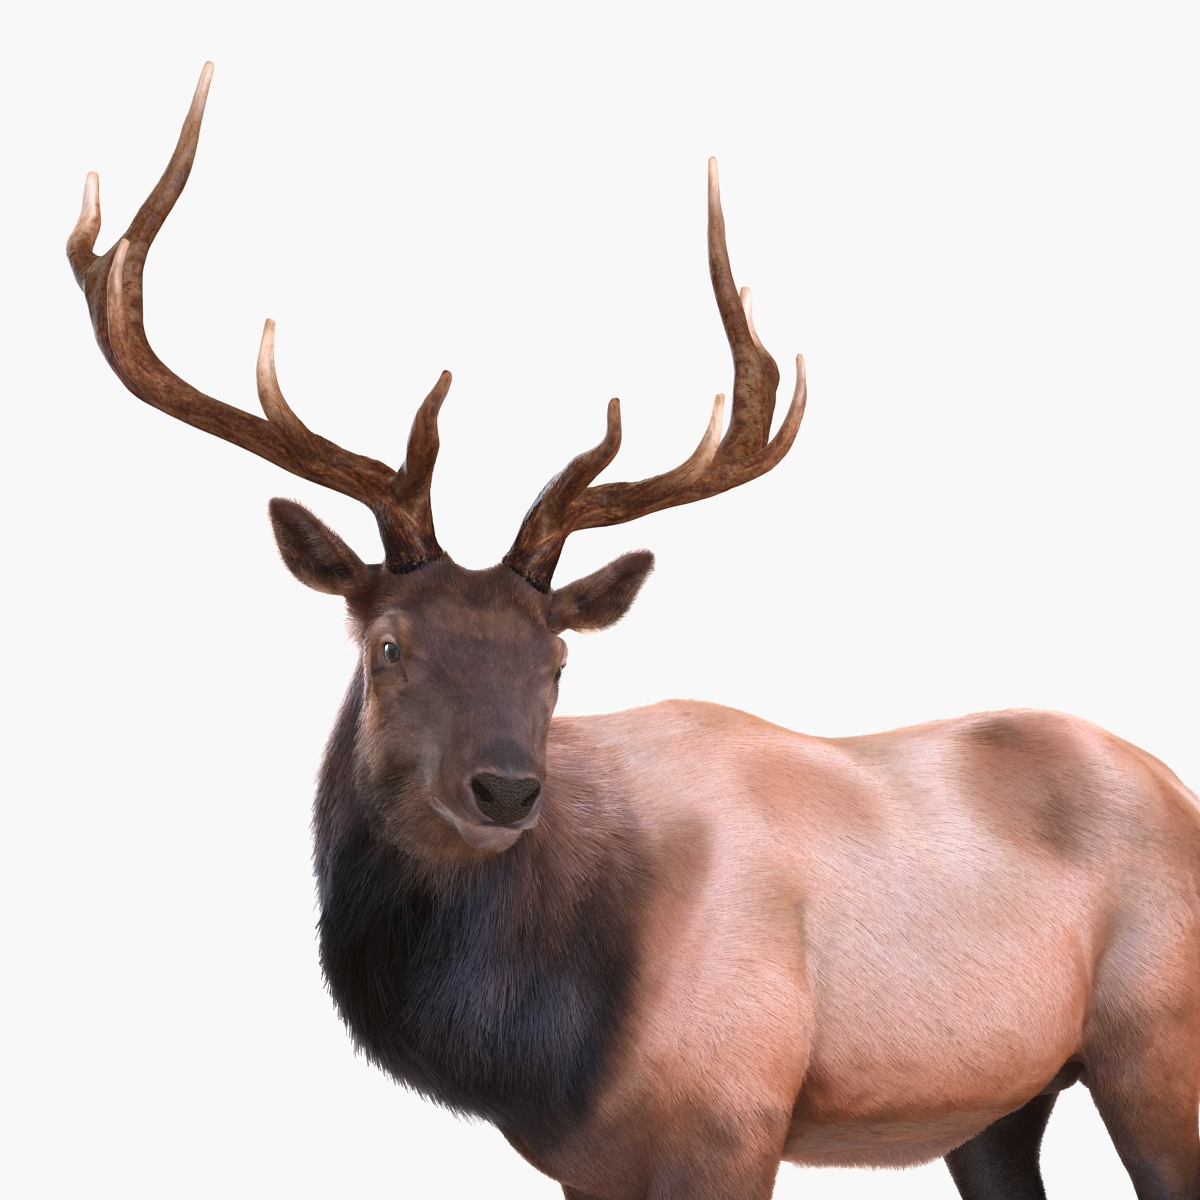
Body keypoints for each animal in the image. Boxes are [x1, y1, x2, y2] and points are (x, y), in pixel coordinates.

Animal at [68, 63, 1200, 1200]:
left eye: (558, 659)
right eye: (388, 645)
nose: (506, 788)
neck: (541, 1042)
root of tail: (1175, 787)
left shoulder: (736, 1116)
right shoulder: (589, 1160)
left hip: (1157, 1051)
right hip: (1005, 1100)